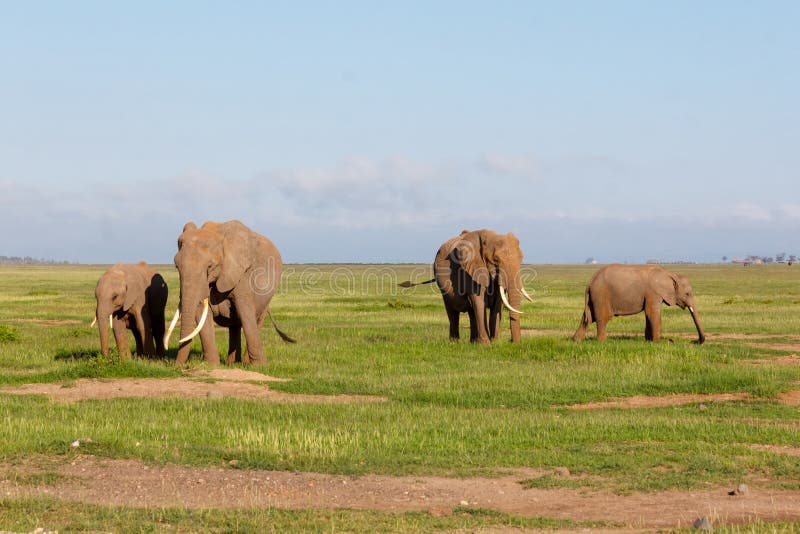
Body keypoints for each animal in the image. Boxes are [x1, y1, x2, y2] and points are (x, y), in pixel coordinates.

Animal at [164, 220, 294, 366]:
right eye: (177, 266)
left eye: (210, 266)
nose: (176, 365)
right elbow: (201, 311)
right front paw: (212, 365)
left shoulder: (241, 273)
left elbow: (245, 311)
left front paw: (260, 366)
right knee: (234, 326)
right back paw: (233, 363)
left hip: (268, 297)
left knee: (256, 320)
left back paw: (245, 363)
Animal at [401, 229, 534, 343]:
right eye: (495, 260)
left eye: (521, 259)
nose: (513, 342)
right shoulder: (469, 271)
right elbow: (479, 301)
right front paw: (486, 345)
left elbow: (497, 303)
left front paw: (494, 343)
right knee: (452, 311)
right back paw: (454, 342)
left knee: (471, 311)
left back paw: (473, 342)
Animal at [572, 264, 706, 344]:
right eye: (687, 294)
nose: (695, 341)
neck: (670, 274)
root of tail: (590, 282)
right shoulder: (653, 293)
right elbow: (653, 314)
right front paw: (657, 343)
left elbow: (648, 315)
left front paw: (648, 342)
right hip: (601, 296)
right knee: (602, 318)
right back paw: (602, 342)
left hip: (593, 298)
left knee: (587, 319)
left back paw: (576, 341)